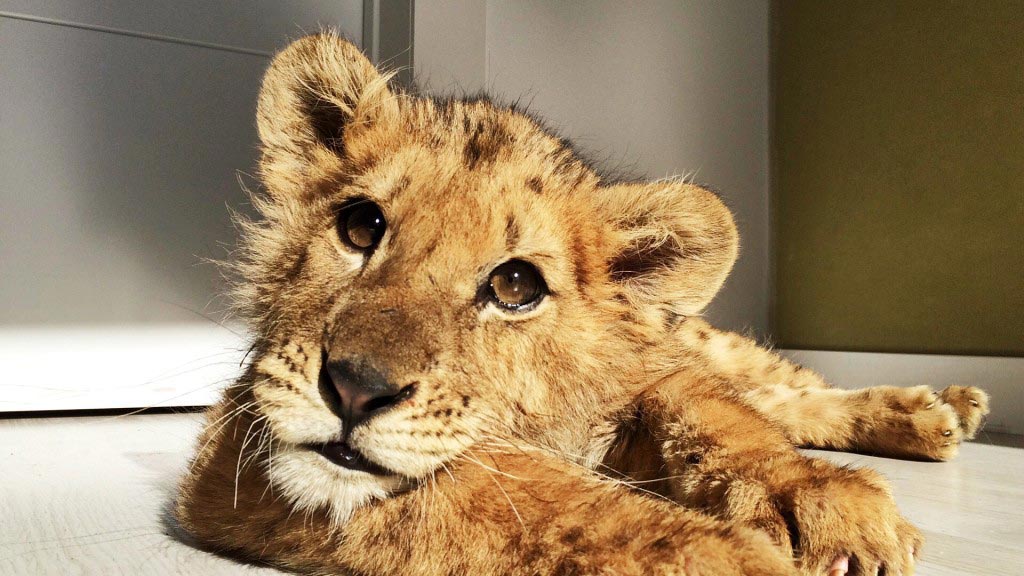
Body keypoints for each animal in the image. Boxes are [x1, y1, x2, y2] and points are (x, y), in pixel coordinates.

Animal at [175, 34, 990, 576]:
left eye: (514, 288)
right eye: (361, 227)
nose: (354, 388)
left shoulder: (655, 377)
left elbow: (718, 414)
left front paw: (816, 500)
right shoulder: (232, 453)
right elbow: (492, 492)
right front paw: (728, 557)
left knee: (780, 393)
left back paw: (942, 409)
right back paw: (939, 416)